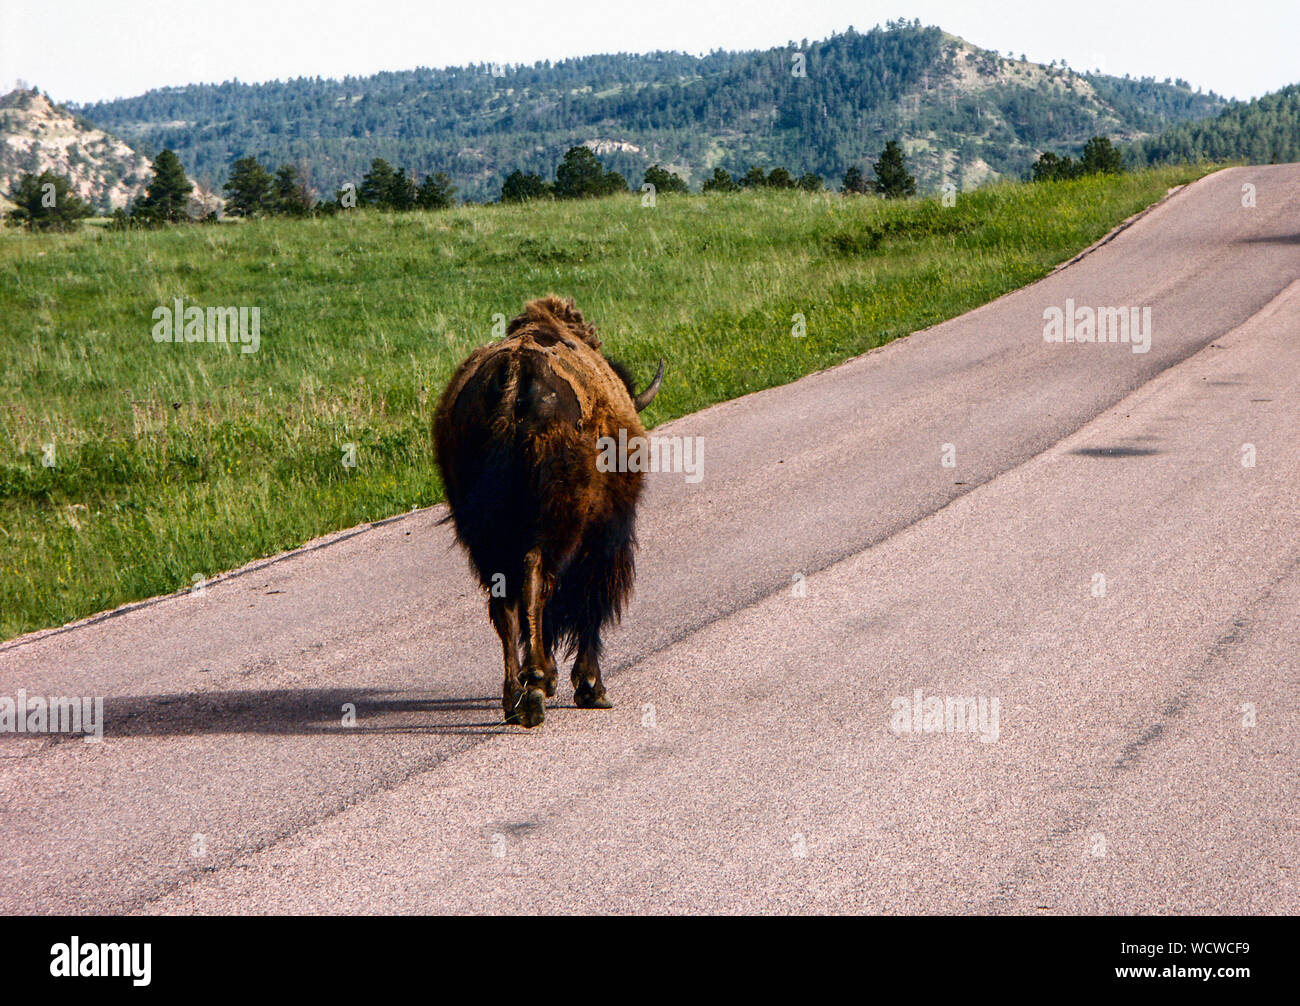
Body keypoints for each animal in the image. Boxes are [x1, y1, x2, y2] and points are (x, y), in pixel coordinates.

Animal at [434, 296, 664, 727]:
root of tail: (514, 377)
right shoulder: (605, 538)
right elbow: (589, 604)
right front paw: (591, 688)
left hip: (484, 536)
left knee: (504, 604)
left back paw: (515, 698)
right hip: (560, 528)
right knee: (538, 580)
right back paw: (538, 687)